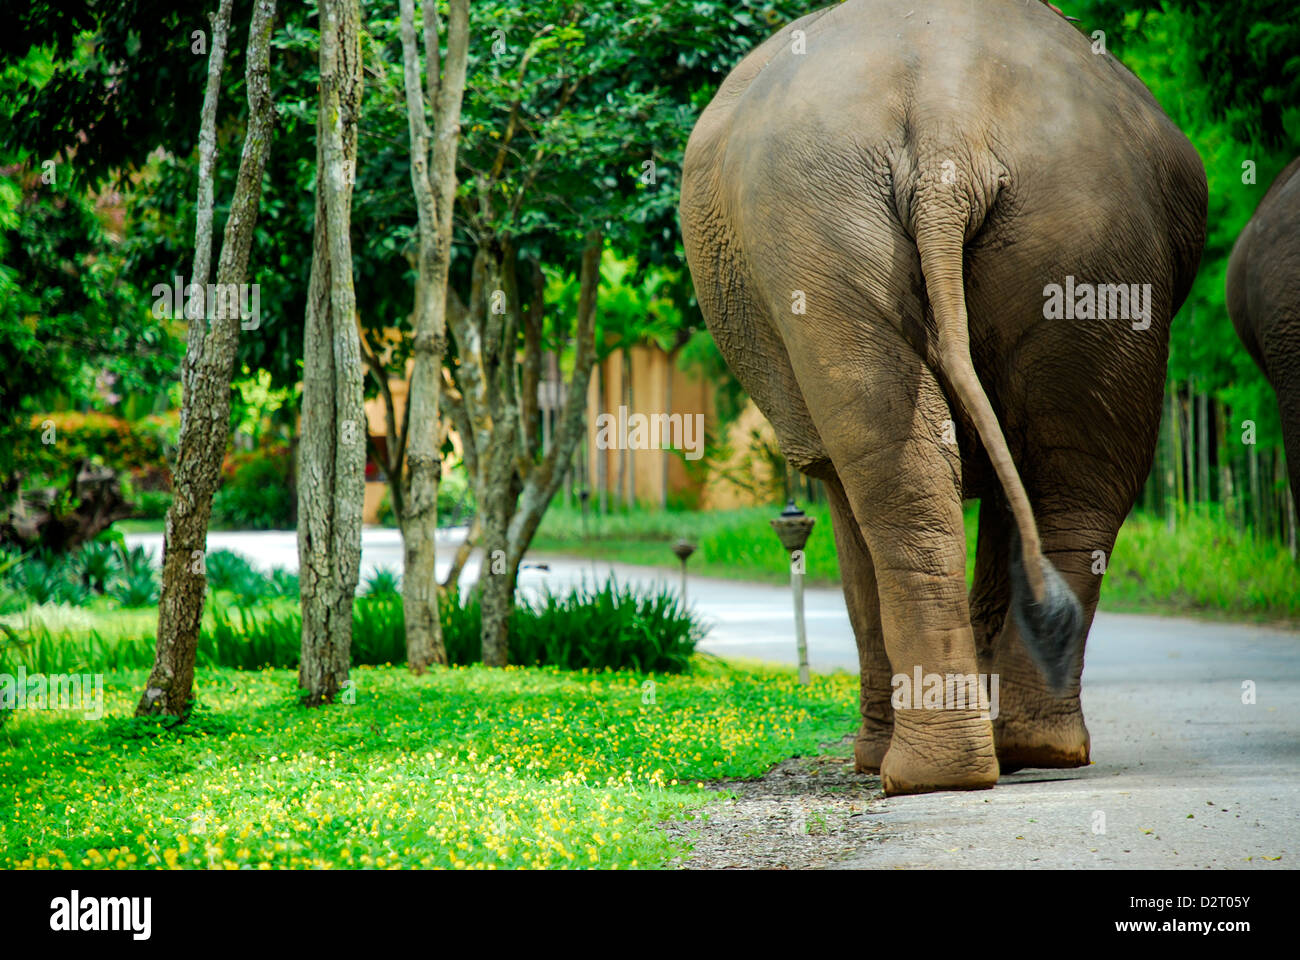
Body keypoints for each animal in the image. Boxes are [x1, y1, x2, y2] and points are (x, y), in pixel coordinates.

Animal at [680, 0, 1206, 795]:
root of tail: (947, 122)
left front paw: (871, 758)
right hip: (1083, 236)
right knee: (1073, 478)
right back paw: (1019, 754)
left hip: (819, 228)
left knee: (897, 476)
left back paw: (926, 771)